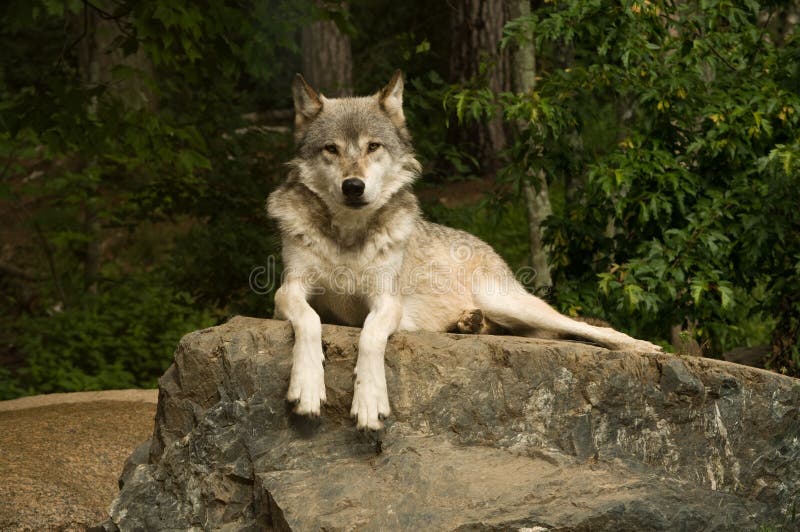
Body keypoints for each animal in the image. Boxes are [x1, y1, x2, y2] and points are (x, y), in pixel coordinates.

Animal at [267, 71, 661, 430]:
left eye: (373, 146)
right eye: (331, 149)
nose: (353, 186)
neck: (348, 238)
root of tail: (485, 245)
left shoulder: (386, 302)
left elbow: (370, 336)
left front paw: (369, 400)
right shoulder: (288, 291)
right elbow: (310, 320)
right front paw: (308, 386)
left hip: (507, 301)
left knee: (582, 328)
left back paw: (643, 346)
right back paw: (470, 324)